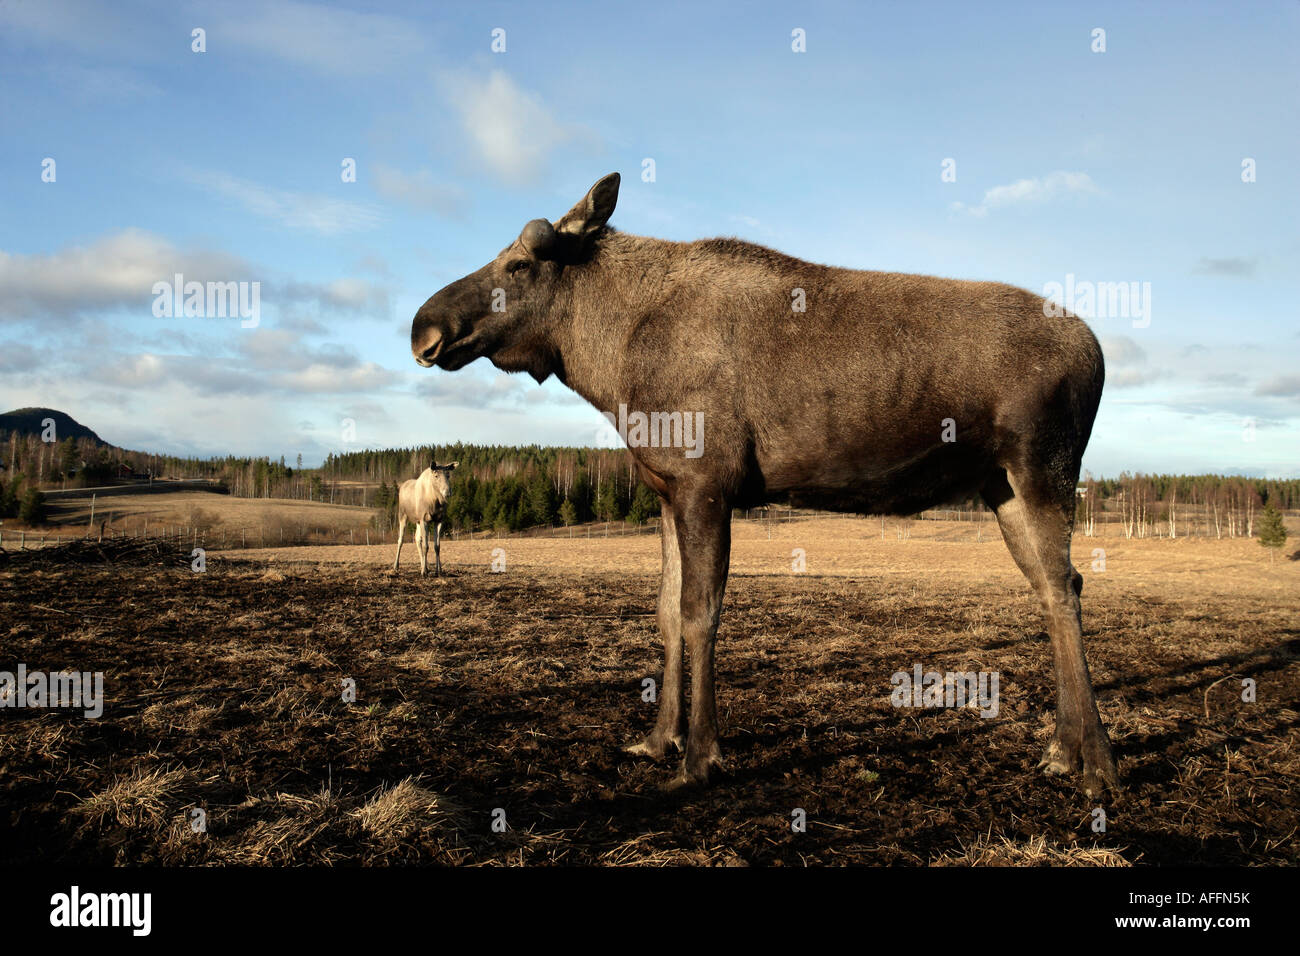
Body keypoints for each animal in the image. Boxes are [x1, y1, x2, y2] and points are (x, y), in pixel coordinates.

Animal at [409, 172, 1119, 798]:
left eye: (520, 265)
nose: (423, 327)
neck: (612, 367)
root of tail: (1099, 350)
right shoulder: (665, 489)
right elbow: (665, 612)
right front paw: (657, 740)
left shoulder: (706, 482)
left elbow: (700, 614)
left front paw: (699, 759)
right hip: (1000, 486)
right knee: (1059, 585)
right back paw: (1062, 747)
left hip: (1044, 467)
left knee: (1064, 586)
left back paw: (1097, 763)